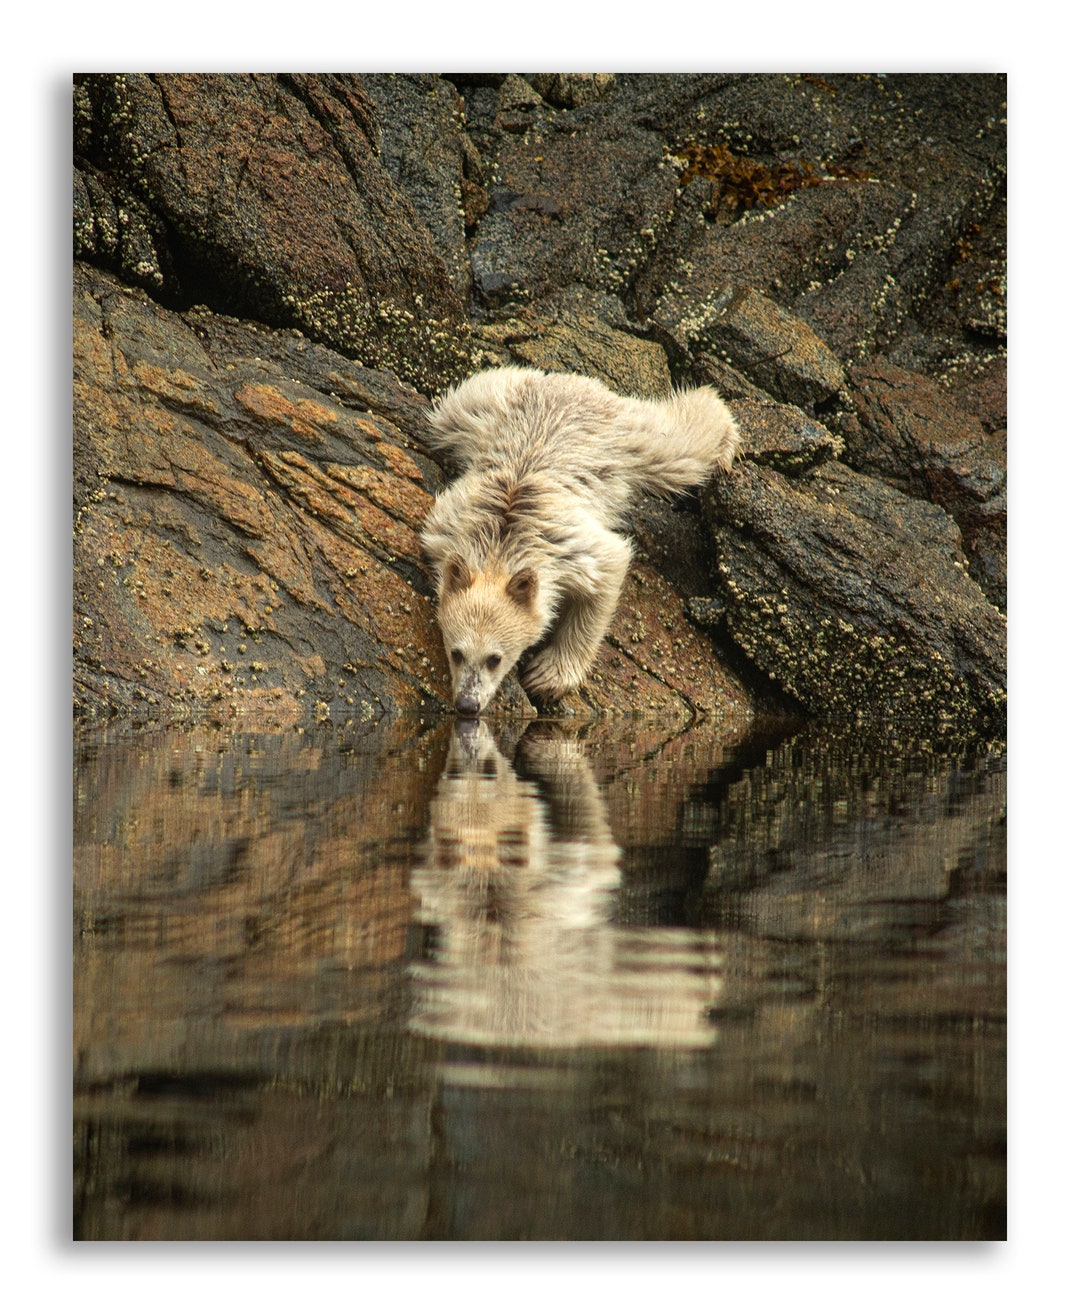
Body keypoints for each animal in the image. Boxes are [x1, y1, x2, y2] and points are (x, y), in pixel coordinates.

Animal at [420, 366, 741, 714]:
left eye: (495, 658)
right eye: (456, 652)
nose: (467, 704)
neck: (503, 537)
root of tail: (571, 382)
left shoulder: (567, 545)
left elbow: (609, 568)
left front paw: (547, 676)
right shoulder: (445, 525)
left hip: (623, 441)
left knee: (679, 448)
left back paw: (725, 444)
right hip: (479, 406)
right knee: (448, 412)